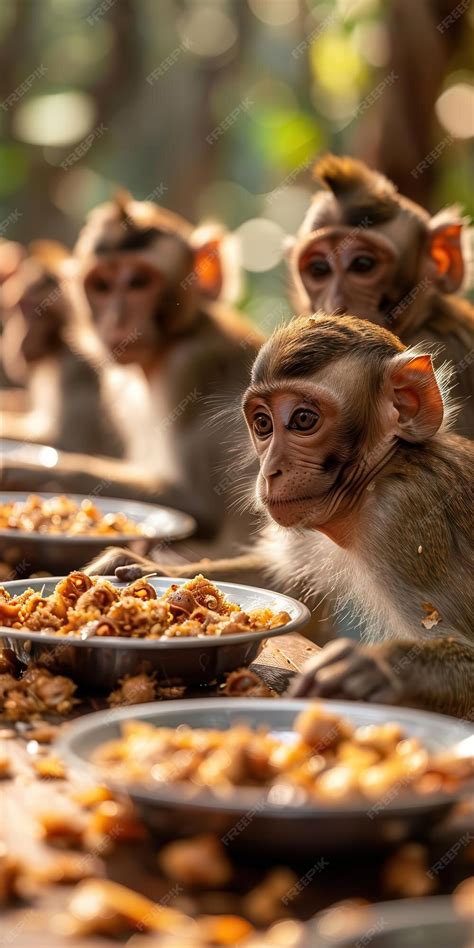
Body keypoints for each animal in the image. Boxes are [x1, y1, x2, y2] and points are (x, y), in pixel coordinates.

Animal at [1, 242, 125, 457]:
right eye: (19, 307)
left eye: (34, 309)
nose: (20, 336)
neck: (56, 347)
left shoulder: (73, 372)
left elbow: (70, 446)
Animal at [87, 314, 474, 718]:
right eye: (262, 424)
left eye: (303, 419)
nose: (270, 470)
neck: (381, 472)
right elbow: (279, 575)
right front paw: (143, 567)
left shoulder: (405, 517)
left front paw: (373, 668)